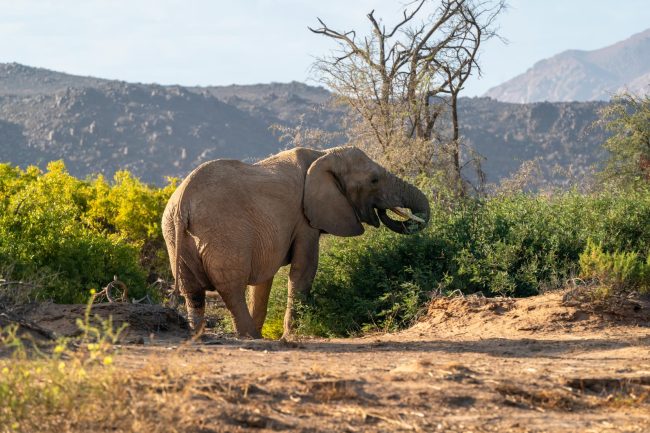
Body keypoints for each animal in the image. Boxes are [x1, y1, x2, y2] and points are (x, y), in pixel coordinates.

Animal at [162, 146, 430, 339]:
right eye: (374, 180)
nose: (385, 211)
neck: (324, 155)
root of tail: (183, 202)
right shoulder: (304, 221)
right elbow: (304, 269)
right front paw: (291, 335)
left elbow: (263, 281)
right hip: (223, 233)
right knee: (231, 287)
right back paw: (250, 337)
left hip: (175, 237)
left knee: (192, 291)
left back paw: (201, 336)